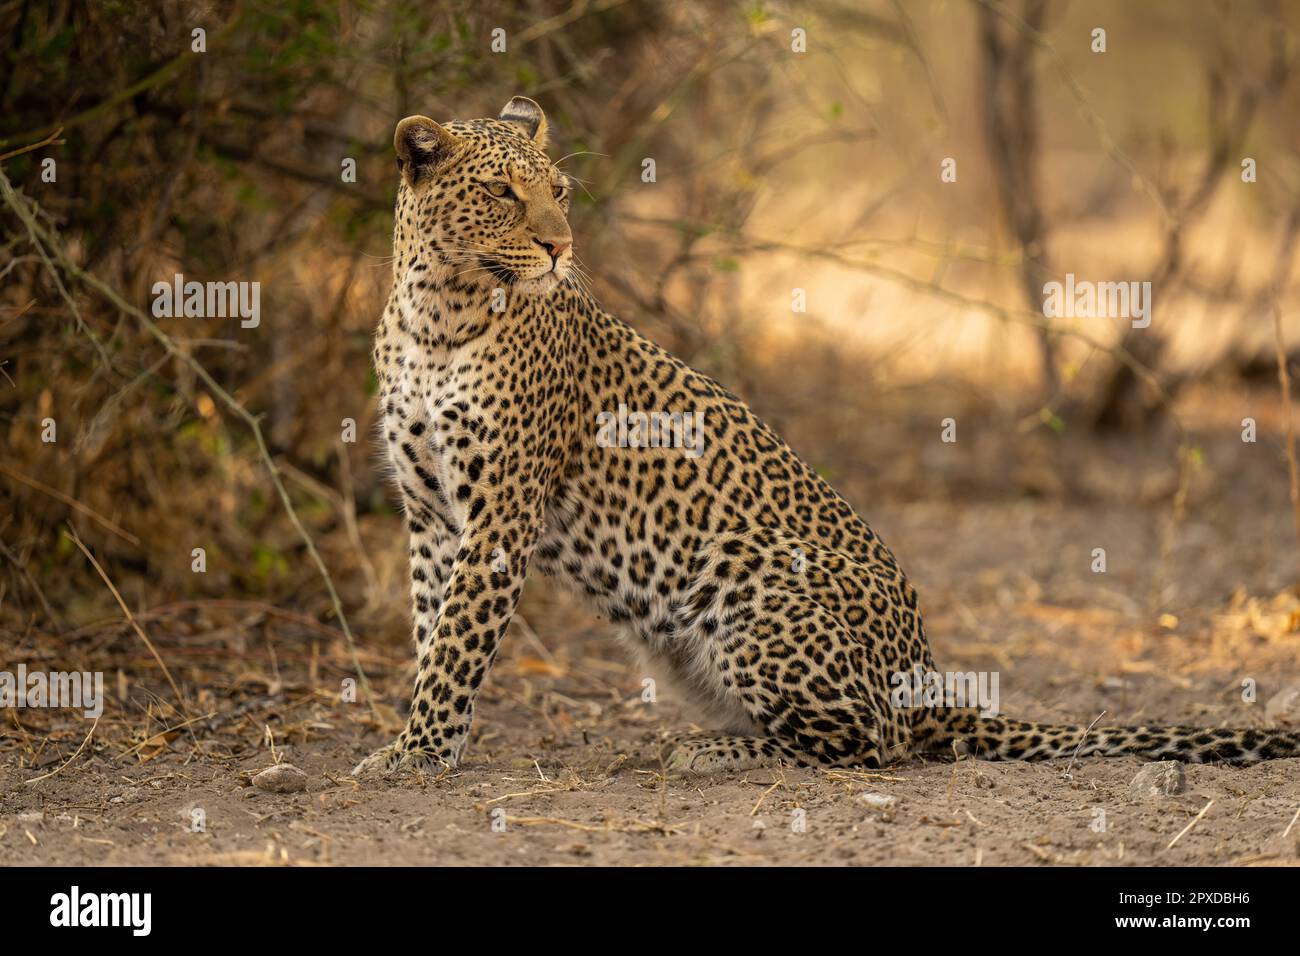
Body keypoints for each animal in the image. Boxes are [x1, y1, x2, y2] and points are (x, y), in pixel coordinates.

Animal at [354, 95, 1300, 778]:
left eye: (556, 190)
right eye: (501, 194)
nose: (561, 246)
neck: (437, 317)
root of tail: (926, 681)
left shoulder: (500, 514)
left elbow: (458, 640)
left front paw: (416, 752)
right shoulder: (433, 516)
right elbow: (433, 629)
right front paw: (427, 742)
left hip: (756, 585)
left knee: (871, 744)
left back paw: (706, 751)